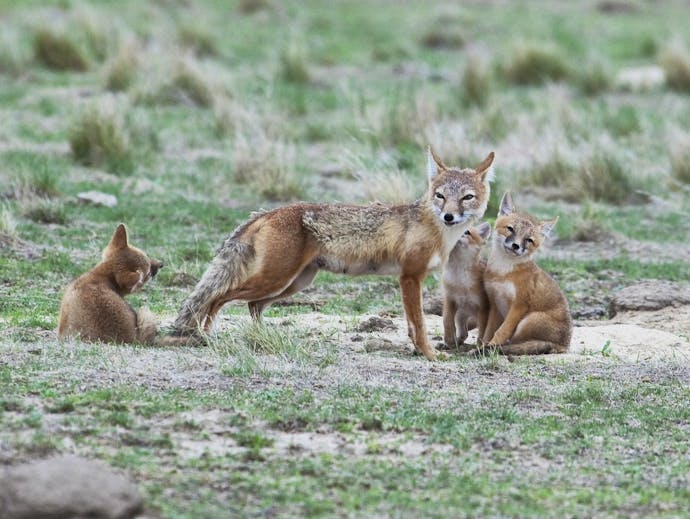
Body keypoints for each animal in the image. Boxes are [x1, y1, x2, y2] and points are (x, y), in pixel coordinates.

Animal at [442, 221, 490, 350]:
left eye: (467, 232)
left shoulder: (483, 306)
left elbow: (482, 331)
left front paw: (479, 347)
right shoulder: (450, 299)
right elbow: (446, 320)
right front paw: (449, 338)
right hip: (460, 315)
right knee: (464, 332)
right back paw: (456, 342)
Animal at [477, 192, 572, 355]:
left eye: (528, 240)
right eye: (510, 229)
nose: (516, 245)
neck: (503, 273)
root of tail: (564, 346)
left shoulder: (519, 305)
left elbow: (501, 331)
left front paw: (490, 347)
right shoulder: (495, 303)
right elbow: (489, 332)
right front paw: (484, 346)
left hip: (528, 320)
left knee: (518, 343)